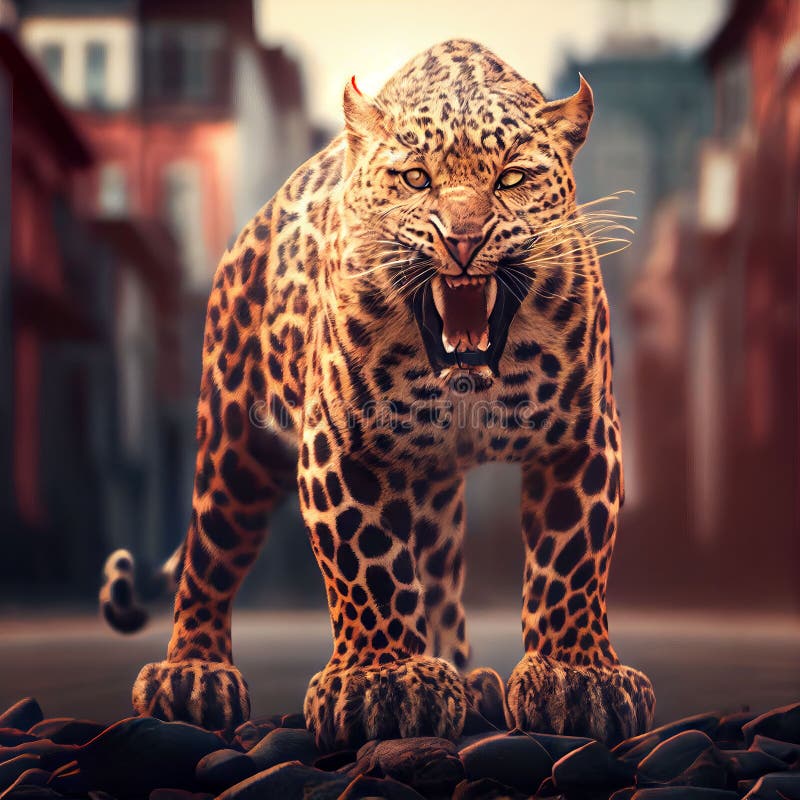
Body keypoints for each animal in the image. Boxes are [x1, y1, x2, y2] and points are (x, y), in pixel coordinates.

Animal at [99, 39, 655, 751]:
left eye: (511, 178)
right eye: (415, 179)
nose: (462, 239)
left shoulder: (580, 438)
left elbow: (573, 559)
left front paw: (576, 678)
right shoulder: (340, 442)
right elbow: (368, 562)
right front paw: (383, 682)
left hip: (433, 490)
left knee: (437, 567)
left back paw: (464, 677)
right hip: (235, 444)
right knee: (208, 553)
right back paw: (191, 676)